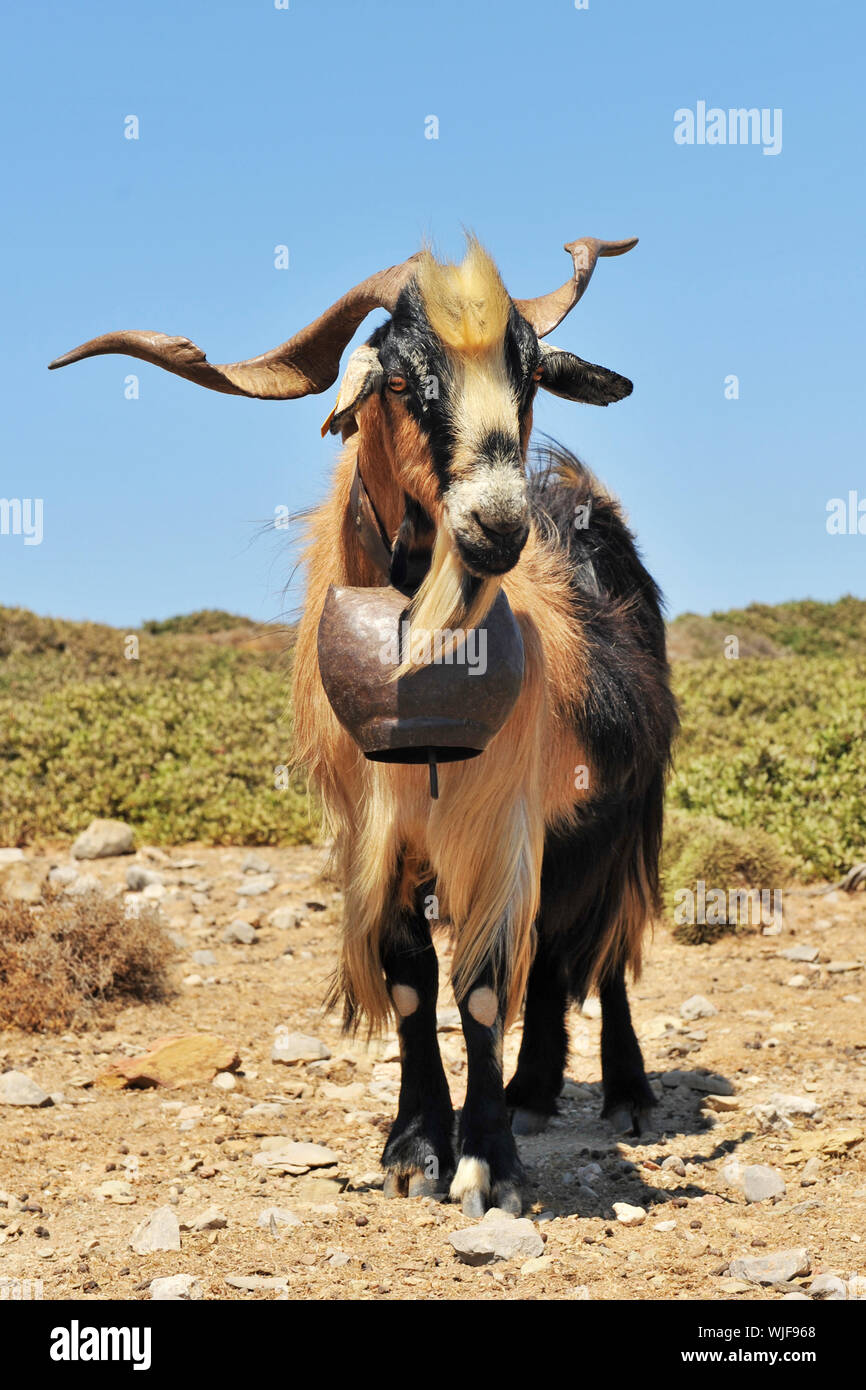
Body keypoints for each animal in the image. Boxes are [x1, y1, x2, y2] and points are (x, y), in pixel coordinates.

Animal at [50, 234, 677, 1217]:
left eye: (532, 372)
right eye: (401, 376)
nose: (497, 526)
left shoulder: (498, 819)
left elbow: (484, 988)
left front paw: (488, 1165)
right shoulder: (374, 832)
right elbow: (412, 979)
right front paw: (417, 1149)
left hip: (623, 810)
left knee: (602, 946)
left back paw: (626, 1094)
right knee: (555, 950)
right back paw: (537, 1093)